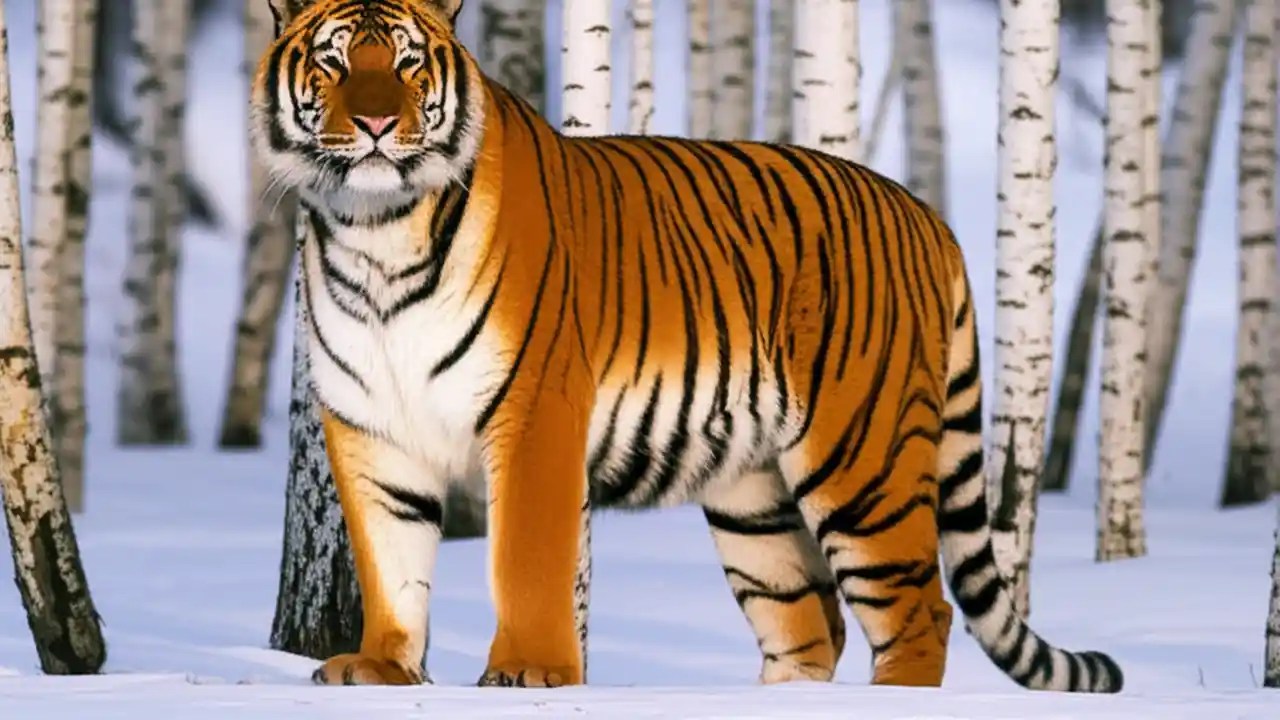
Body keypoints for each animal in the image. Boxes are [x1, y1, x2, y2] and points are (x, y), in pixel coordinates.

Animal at [252, 0, 1123, 694]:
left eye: (407, 63)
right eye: (333, 62)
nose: (376, 126)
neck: (375, 232)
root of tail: (926, 215)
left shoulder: (533, 413)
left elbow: (527, 559)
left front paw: (529, 671)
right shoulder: (371, 427)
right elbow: (390, 559)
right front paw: (384, 667)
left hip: (862, 460)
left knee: (918, 610)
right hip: (754, 494)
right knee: (812, 621)